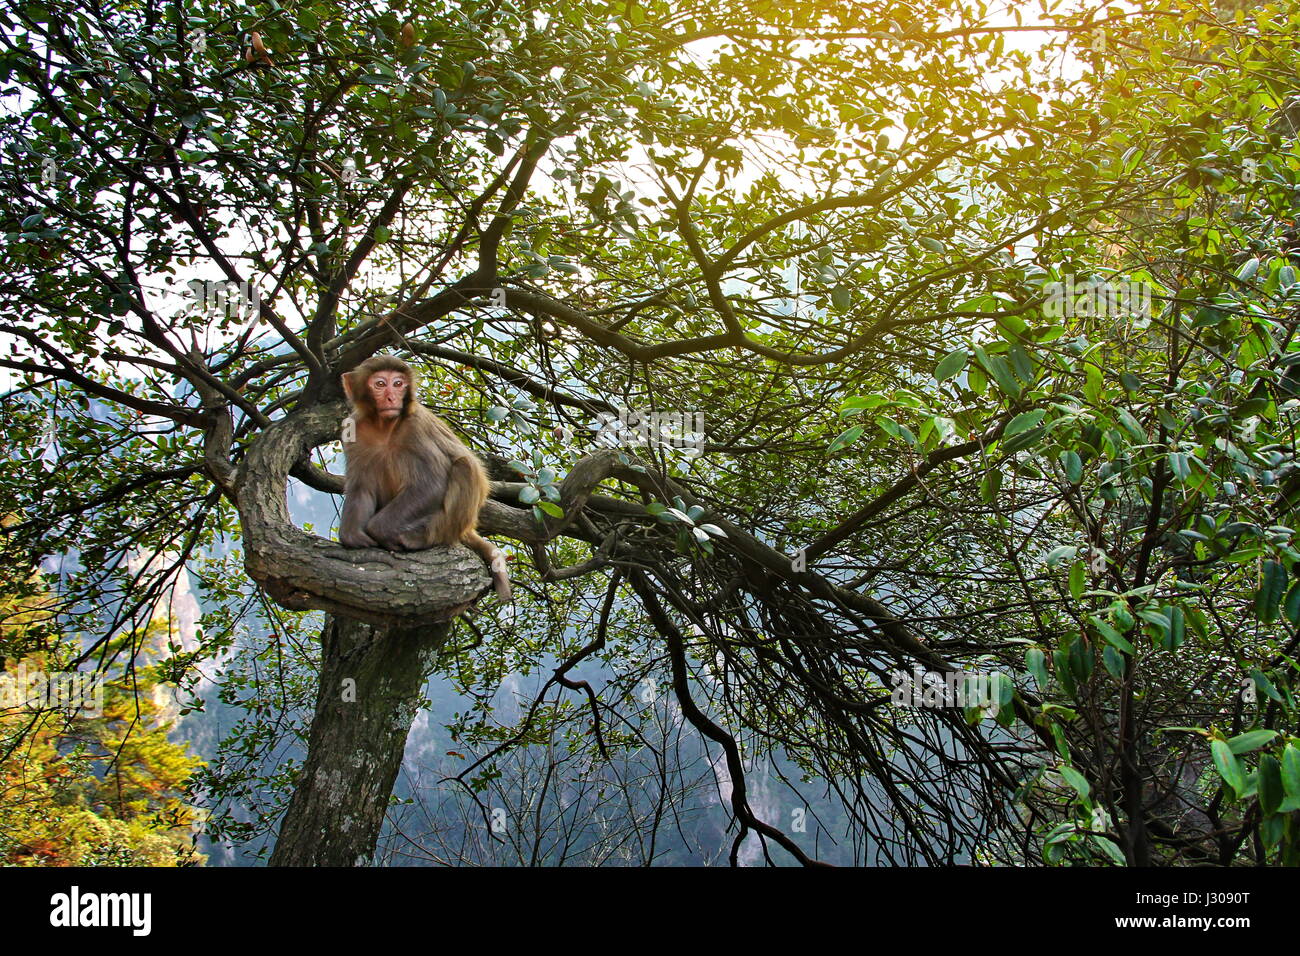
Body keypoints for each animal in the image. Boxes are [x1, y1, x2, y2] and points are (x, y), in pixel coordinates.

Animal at [338, 355, 512, 602]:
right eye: (380, 384)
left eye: (398, 384)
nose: (392, 397)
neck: (384, 426)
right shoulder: (354, 430)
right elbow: (361, 487)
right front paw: (352, 535)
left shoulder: (415, 427)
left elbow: (431, 484)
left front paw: (378, 529)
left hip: (445, 522)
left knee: (464, 466)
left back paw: (421, 538)